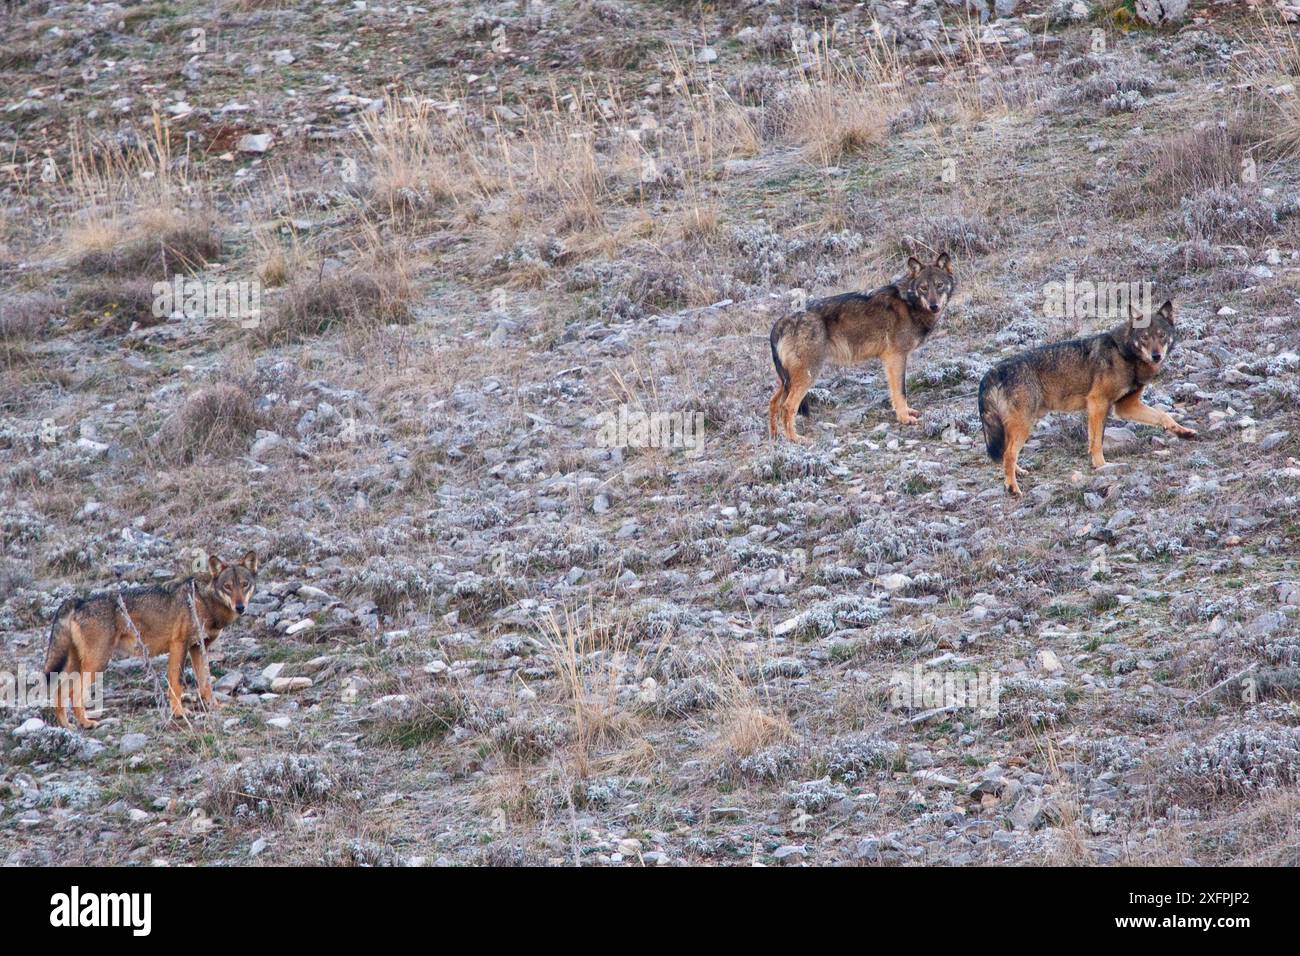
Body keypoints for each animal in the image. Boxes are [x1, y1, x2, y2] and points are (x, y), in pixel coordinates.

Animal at [44, 551, 259, 728]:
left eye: (244, 585)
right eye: (228, 587)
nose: (240, 607)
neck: (205, 601)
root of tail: (78, 601)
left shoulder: (198, 647)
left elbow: (205, 683)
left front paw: (214, 706)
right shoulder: (179, 644)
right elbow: (176, 683)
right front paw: (179, 713)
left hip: (79, 664)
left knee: (59, 692)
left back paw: (67, 726)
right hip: (98, 662)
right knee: (73, 693)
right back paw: (86, 723)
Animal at [767, 252, 956, 443]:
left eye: (939, 285)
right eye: (923, 288)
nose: (934, 306)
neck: (909, 303)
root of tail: (780, 322)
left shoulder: (891, 360)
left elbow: (895, 392)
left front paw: (906, 412)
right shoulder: (896, 356)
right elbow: (901, 391)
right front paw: (904, 418)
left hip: (789, 379)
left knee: (773, 402)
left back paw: (775, 437)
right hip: (808, 375)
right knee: (787, 406)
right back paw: (795, 439)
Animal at [978, 300, 1196, 496]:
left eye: (1162, 335)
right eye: (1144, 337)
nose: (1156, 356)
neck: (1124, 353)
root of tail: (992, 371)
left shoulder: (1126, 406)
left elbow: (1163, 416)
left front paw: (1184, 432)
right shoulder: (1098, 402)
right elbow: (1097, 441)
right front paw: (1101, 465)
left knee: (1007, 453)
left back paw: (1019, 473)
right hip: (1024, 424)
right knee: (1008, 454)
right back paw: (1013, 488)